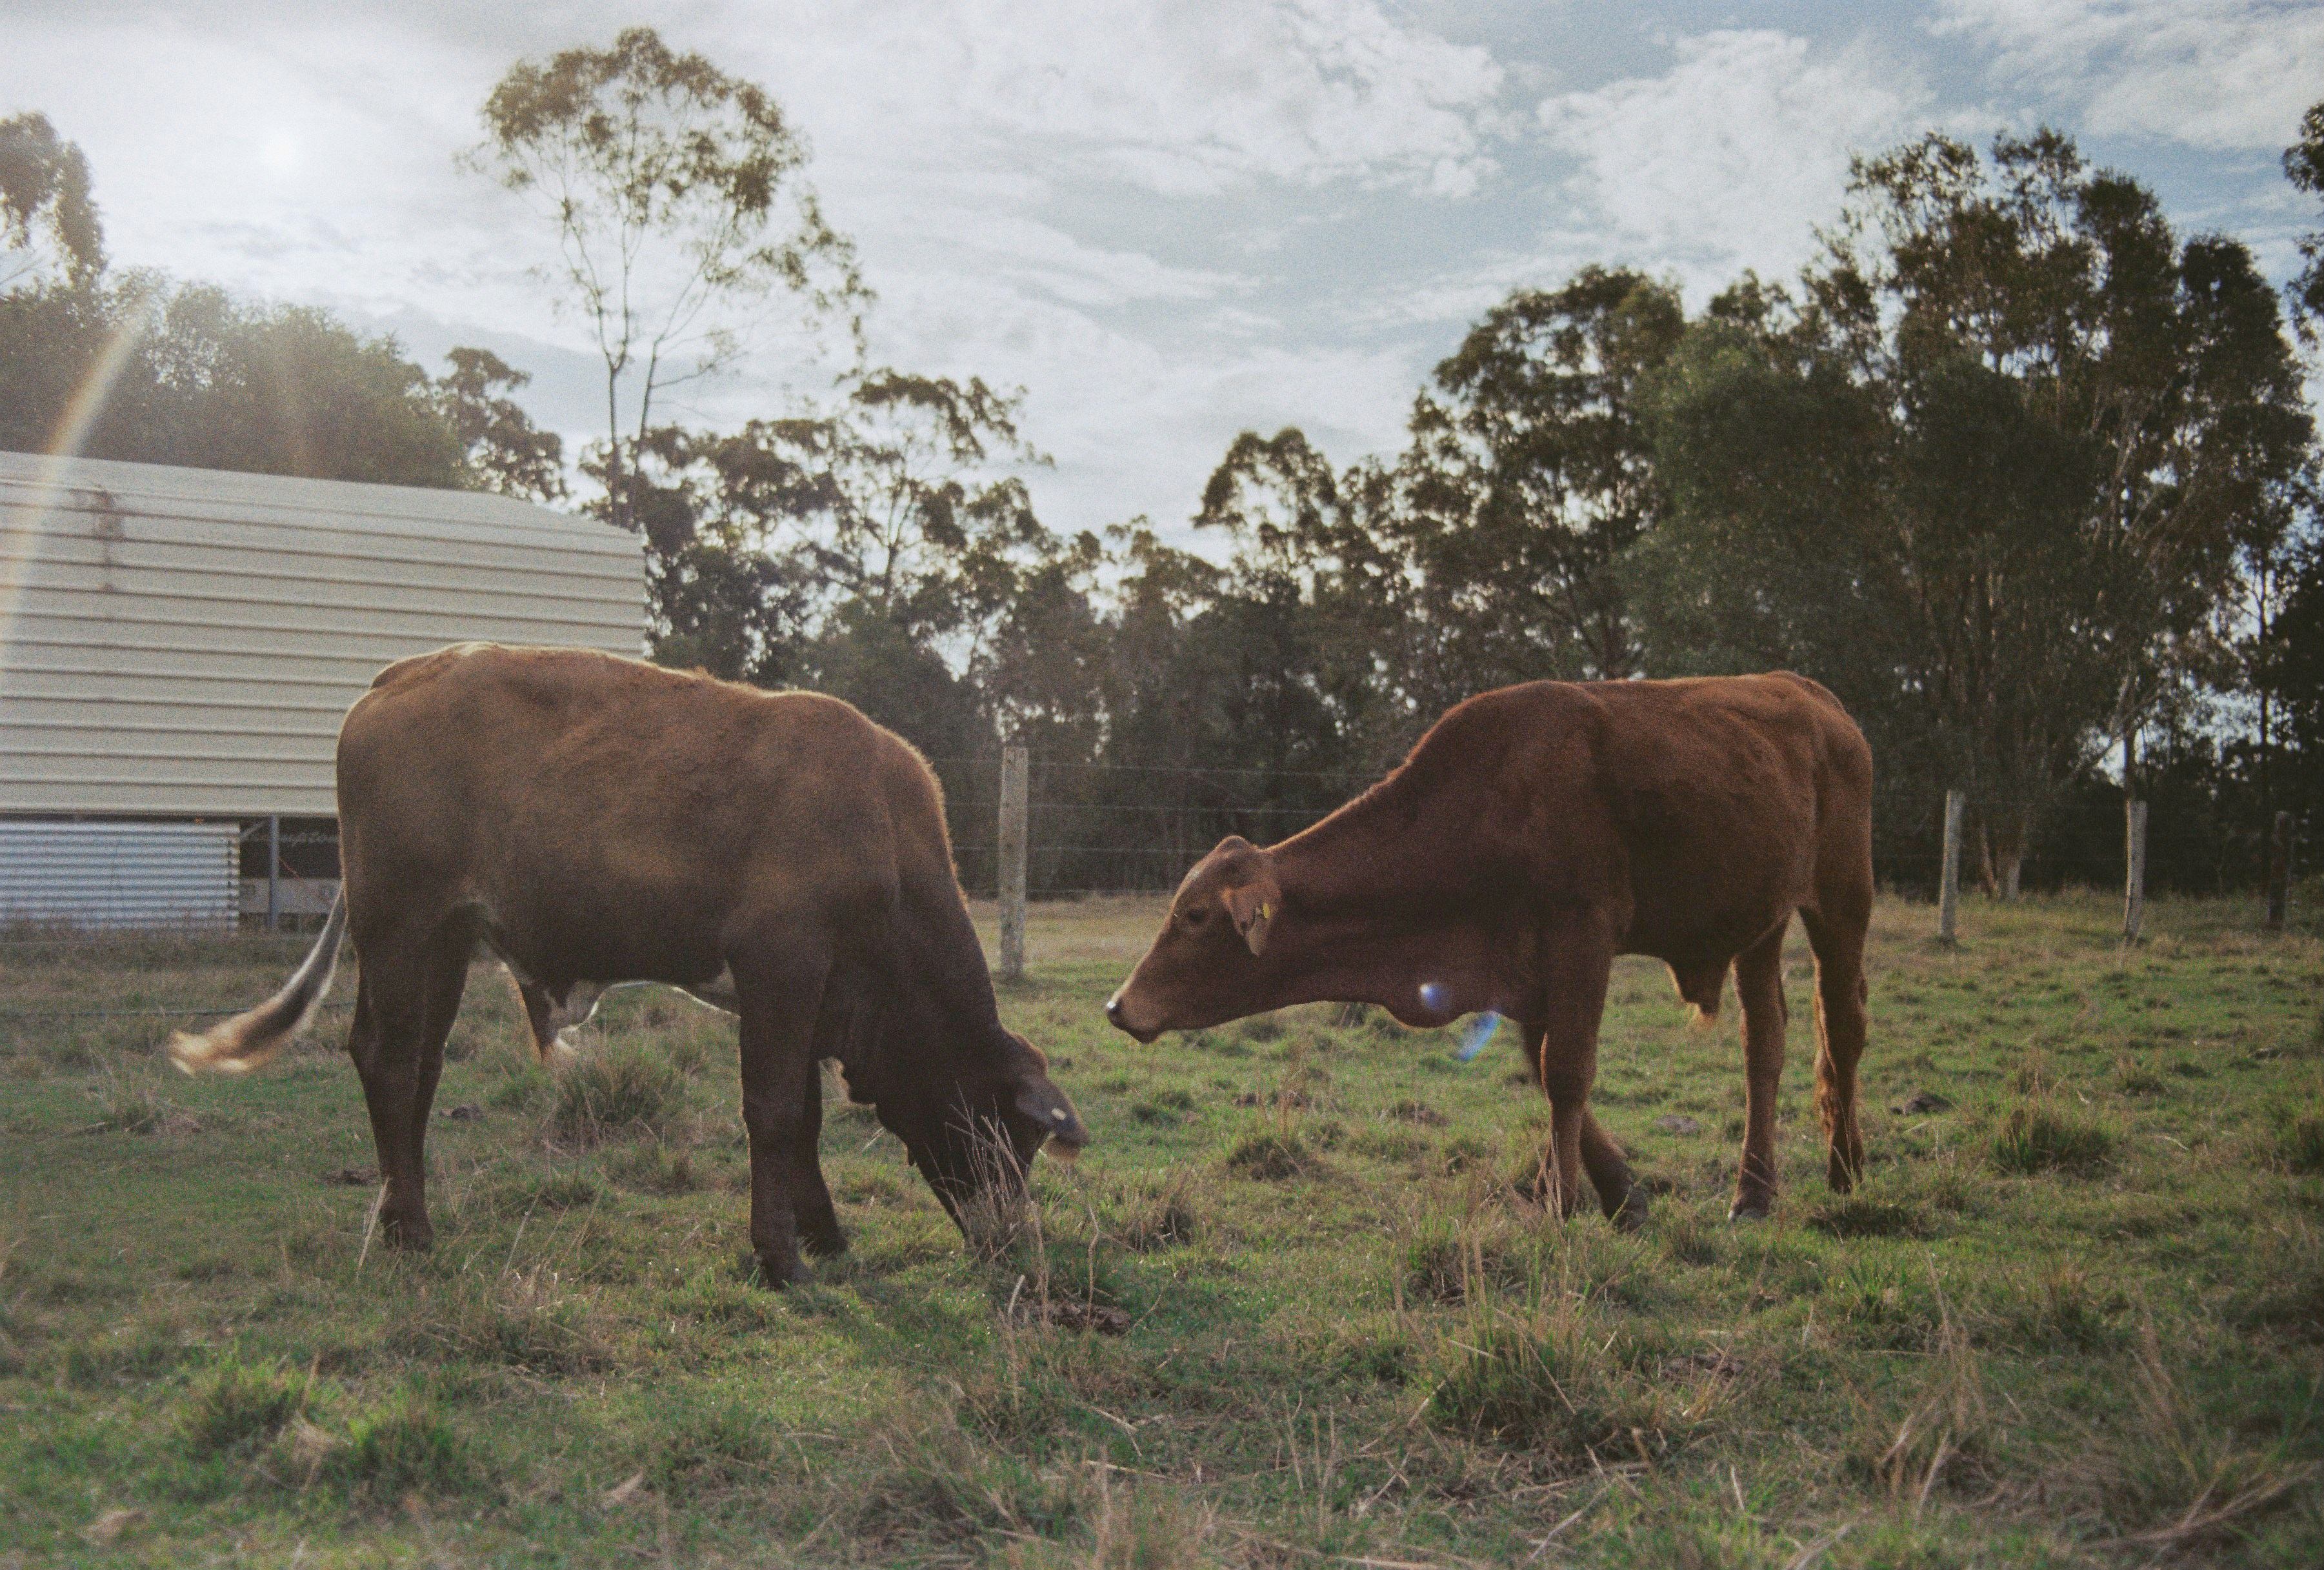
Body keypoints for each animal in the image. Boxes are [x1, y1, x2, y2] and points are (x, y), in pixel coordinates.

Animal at [169, 644, 1088, 1286]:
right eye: (1007, 1133)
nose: (1010, 1240)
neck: (880, 837)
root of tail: (407, 672)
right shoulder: (782, 969)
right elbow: (775, 1114)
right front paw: (780, 1255)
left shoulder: (807, 994)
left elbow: (803, 1119)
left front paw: (822, 1234)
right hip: (399, 926)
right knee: (390, 1062)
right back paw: (408, 1229)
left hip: (444, 944)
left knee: (417, 1065)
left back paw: (405, 1209)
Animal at [1104, 673, 1872, 1226]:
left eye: (1195, 914)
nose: (1118, 1006)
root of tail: (1814, 696)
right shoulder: (1525, 970)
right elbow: (1542, 1065)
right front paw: (1620, 1193)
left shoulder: (1583, 933)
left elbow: (1567, 1071)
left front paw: (1561, 1200)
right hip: (1759, 928)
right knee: (1764, 1044)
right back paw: (1754, 1192)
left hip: (1841, 903)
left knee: (1842, 1029)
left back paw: (1845, 1169)